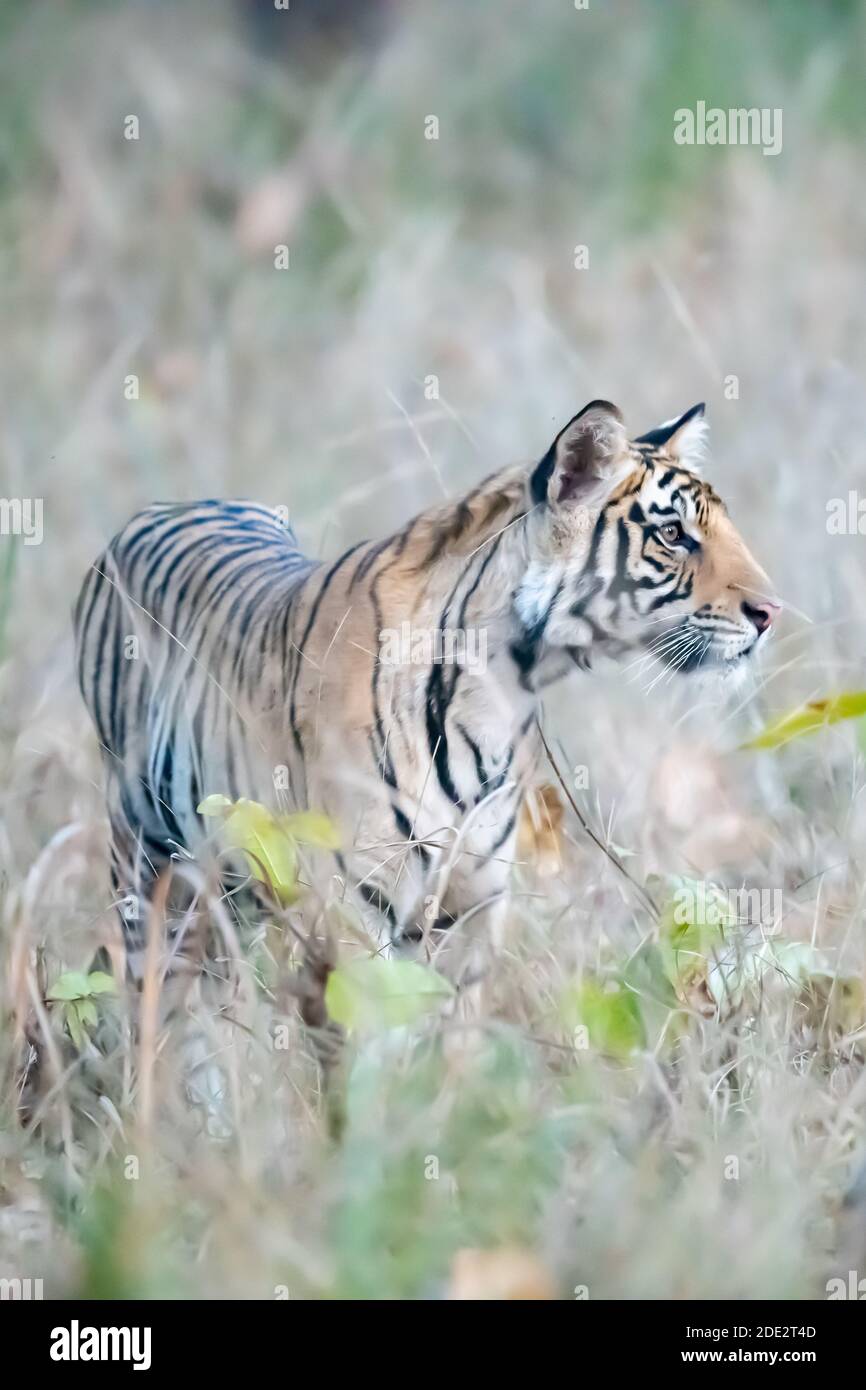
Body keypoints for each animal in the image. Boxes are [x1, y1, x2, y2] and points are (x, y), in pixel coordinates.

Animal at [73, 399, 779, 984]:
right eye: (673, 535)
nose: (771, 612)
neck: (506, 689)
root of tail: (162, 507)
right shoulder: (352, 905)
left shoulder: (471, 908)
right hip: (145, 861)